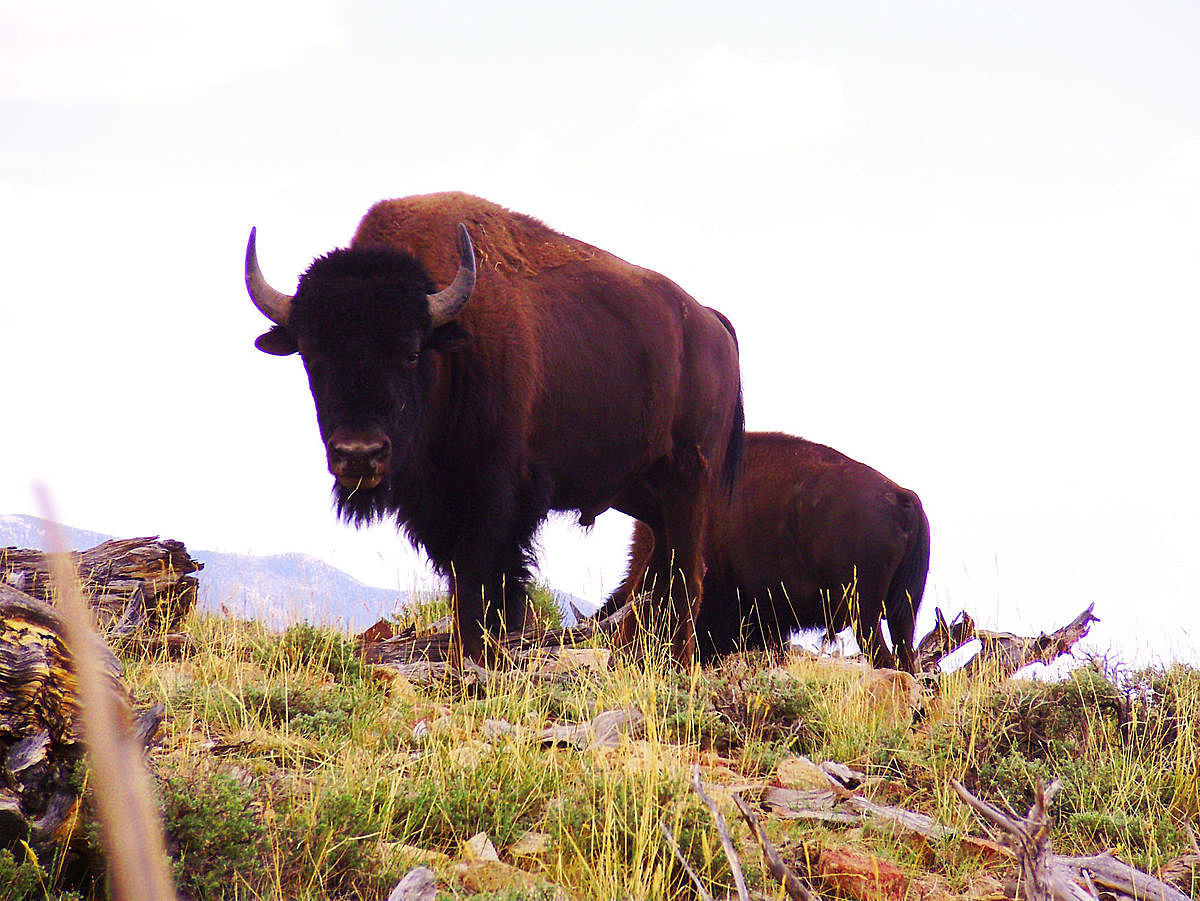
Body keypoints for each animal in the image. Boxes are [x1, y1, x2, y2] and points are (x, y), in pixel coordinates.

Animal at [245, 192, 744, 662]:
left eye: (412, 352)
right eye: (313, 357)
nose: (359, 453)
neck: (450, 344)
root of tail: (709, 323)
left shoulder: (493, 495)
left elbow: (481, 584)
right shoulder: (434, 506)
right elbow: (463, 582)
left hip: (688, 474)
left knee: (688, 571)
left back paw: (678, 662)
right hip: (640, 489)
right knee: (662, 562)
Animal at [599, 432, 929, 673]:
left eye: (645, 614)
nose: (620, 658)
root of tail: (903, 497)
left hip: (865, 613)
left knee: (885, 659)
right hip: (903, 614)